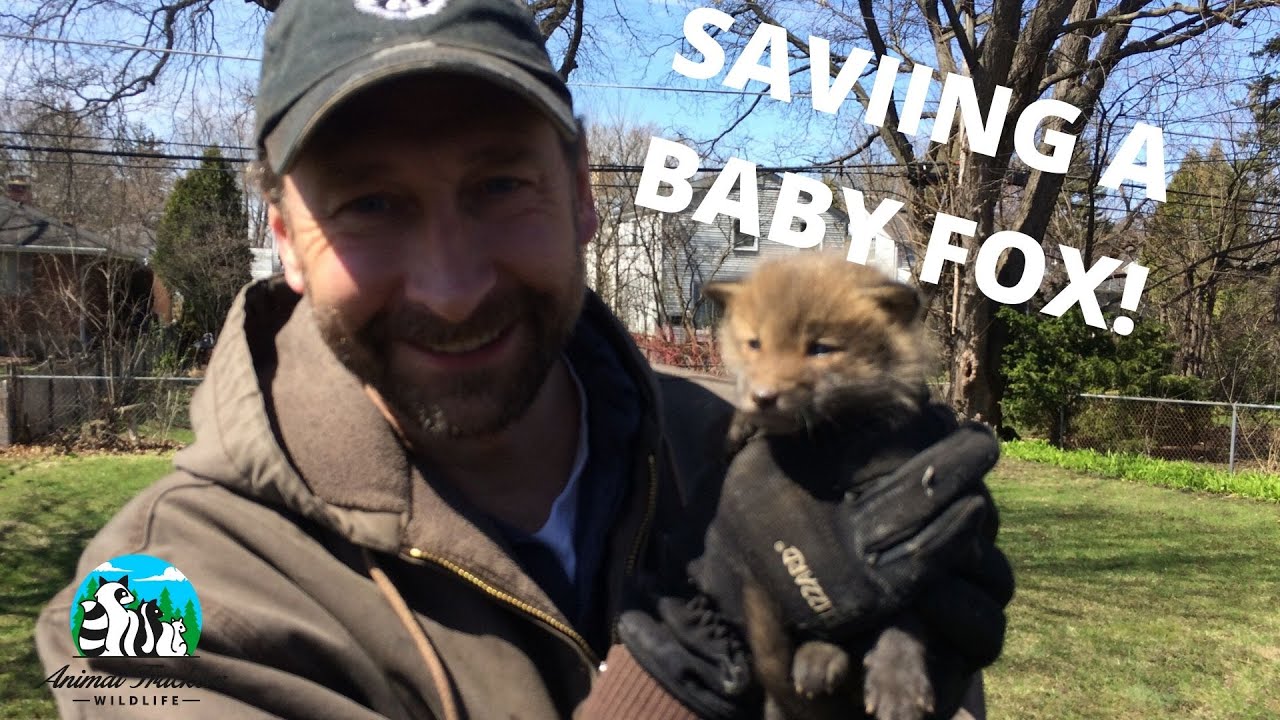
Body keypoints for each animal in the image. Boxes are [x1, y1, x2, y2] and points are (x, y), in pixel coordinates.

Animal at [704, 252, 955, 720]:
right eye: (755, 344)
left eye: (821, 348)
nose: (762, 397)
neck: (831, 437)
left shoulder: (916, 535)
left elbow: (903, 612)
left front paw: (897, 679)